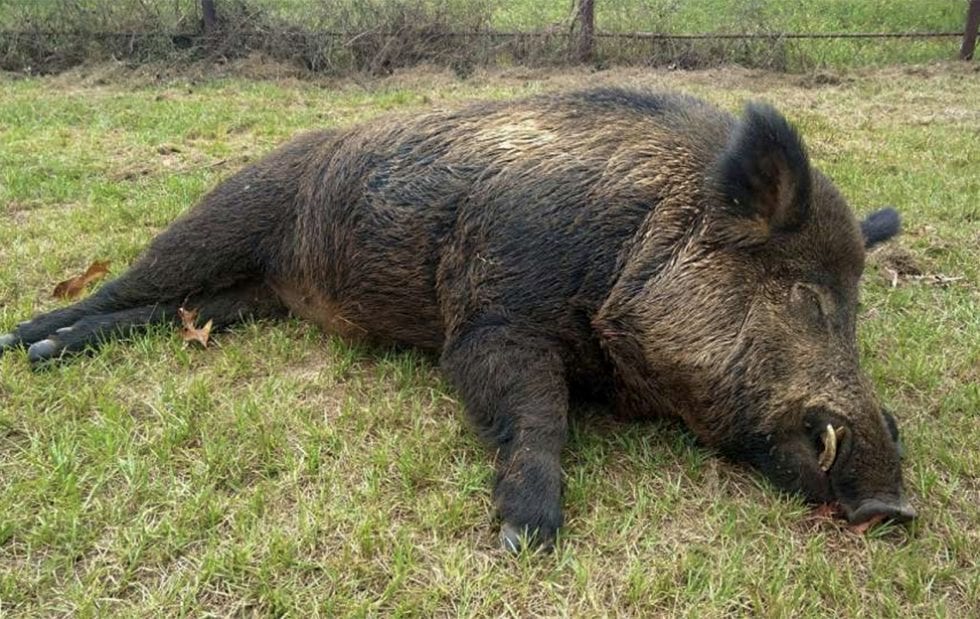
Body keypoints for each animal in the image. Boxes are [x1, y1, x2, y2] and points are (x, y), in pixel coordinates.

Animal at [0, 88, 913, 552]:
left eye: (859, 308)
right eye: (807, 295)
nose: (894, 505)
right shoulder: (490, 312)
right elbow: (533, 405)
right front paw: (526, 536)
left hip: (247, 297)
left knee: (179, 309)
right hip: (226, 213)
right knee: (131, 286)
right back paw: (31, 340)